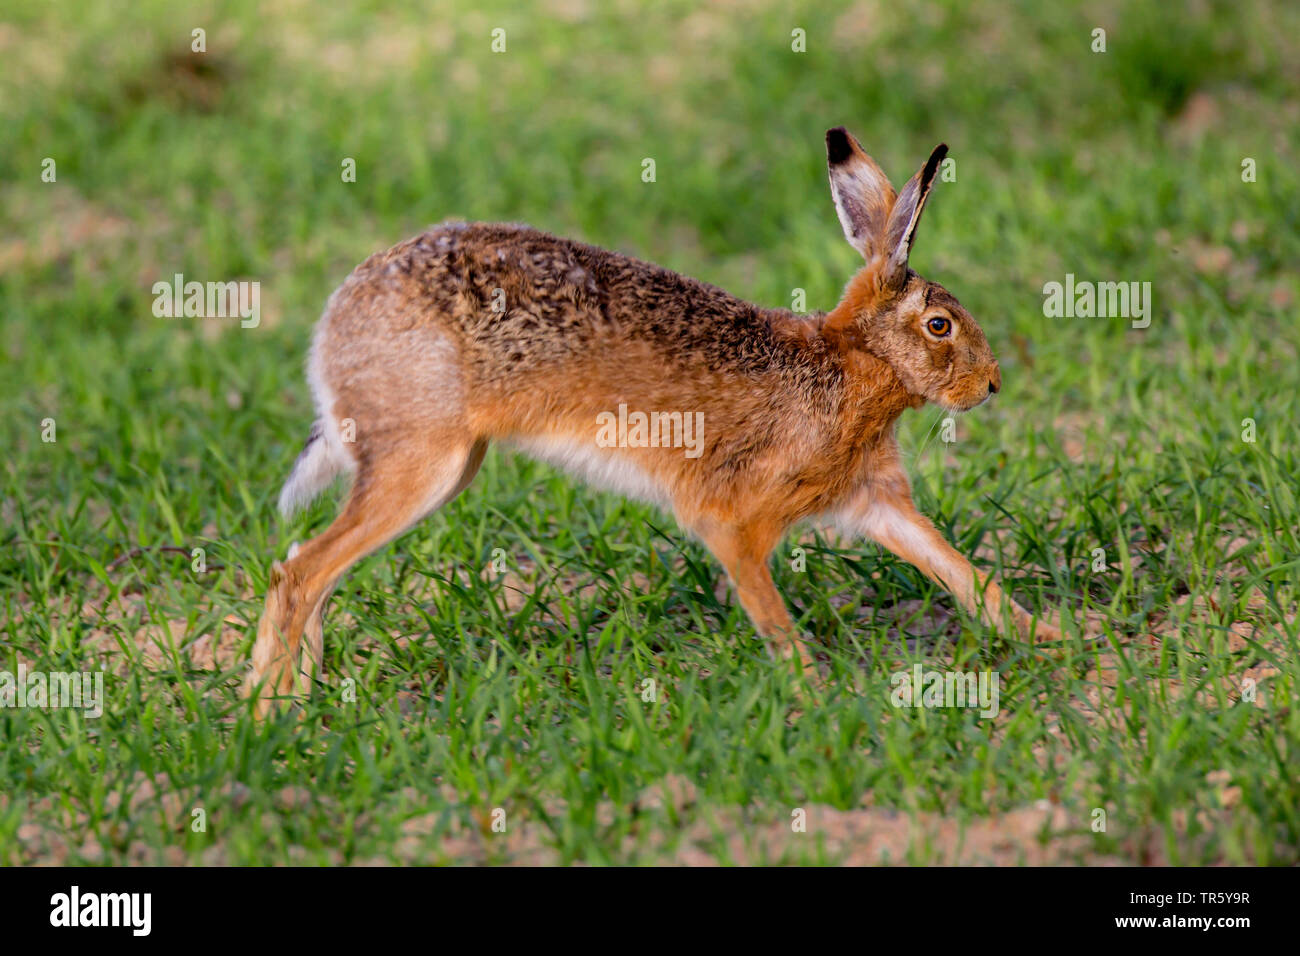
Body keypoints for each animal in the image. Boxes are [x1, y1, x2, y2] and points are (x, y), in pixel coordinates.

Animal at [246, 126, 1062, 716]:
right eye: (938, 326)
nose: (991, 385)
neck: (851, 366)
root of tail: (336, 325)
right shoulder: (733, 520)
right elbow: (771, 614)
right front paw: (814, 692)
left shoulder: (873, 499)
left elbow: (958, 569)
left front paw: (1052, 638)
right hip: (423, 460)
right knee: (299, 571)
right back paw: (271, 715)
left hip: (441, 466)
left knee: (307, 567)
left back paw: (287, 696)